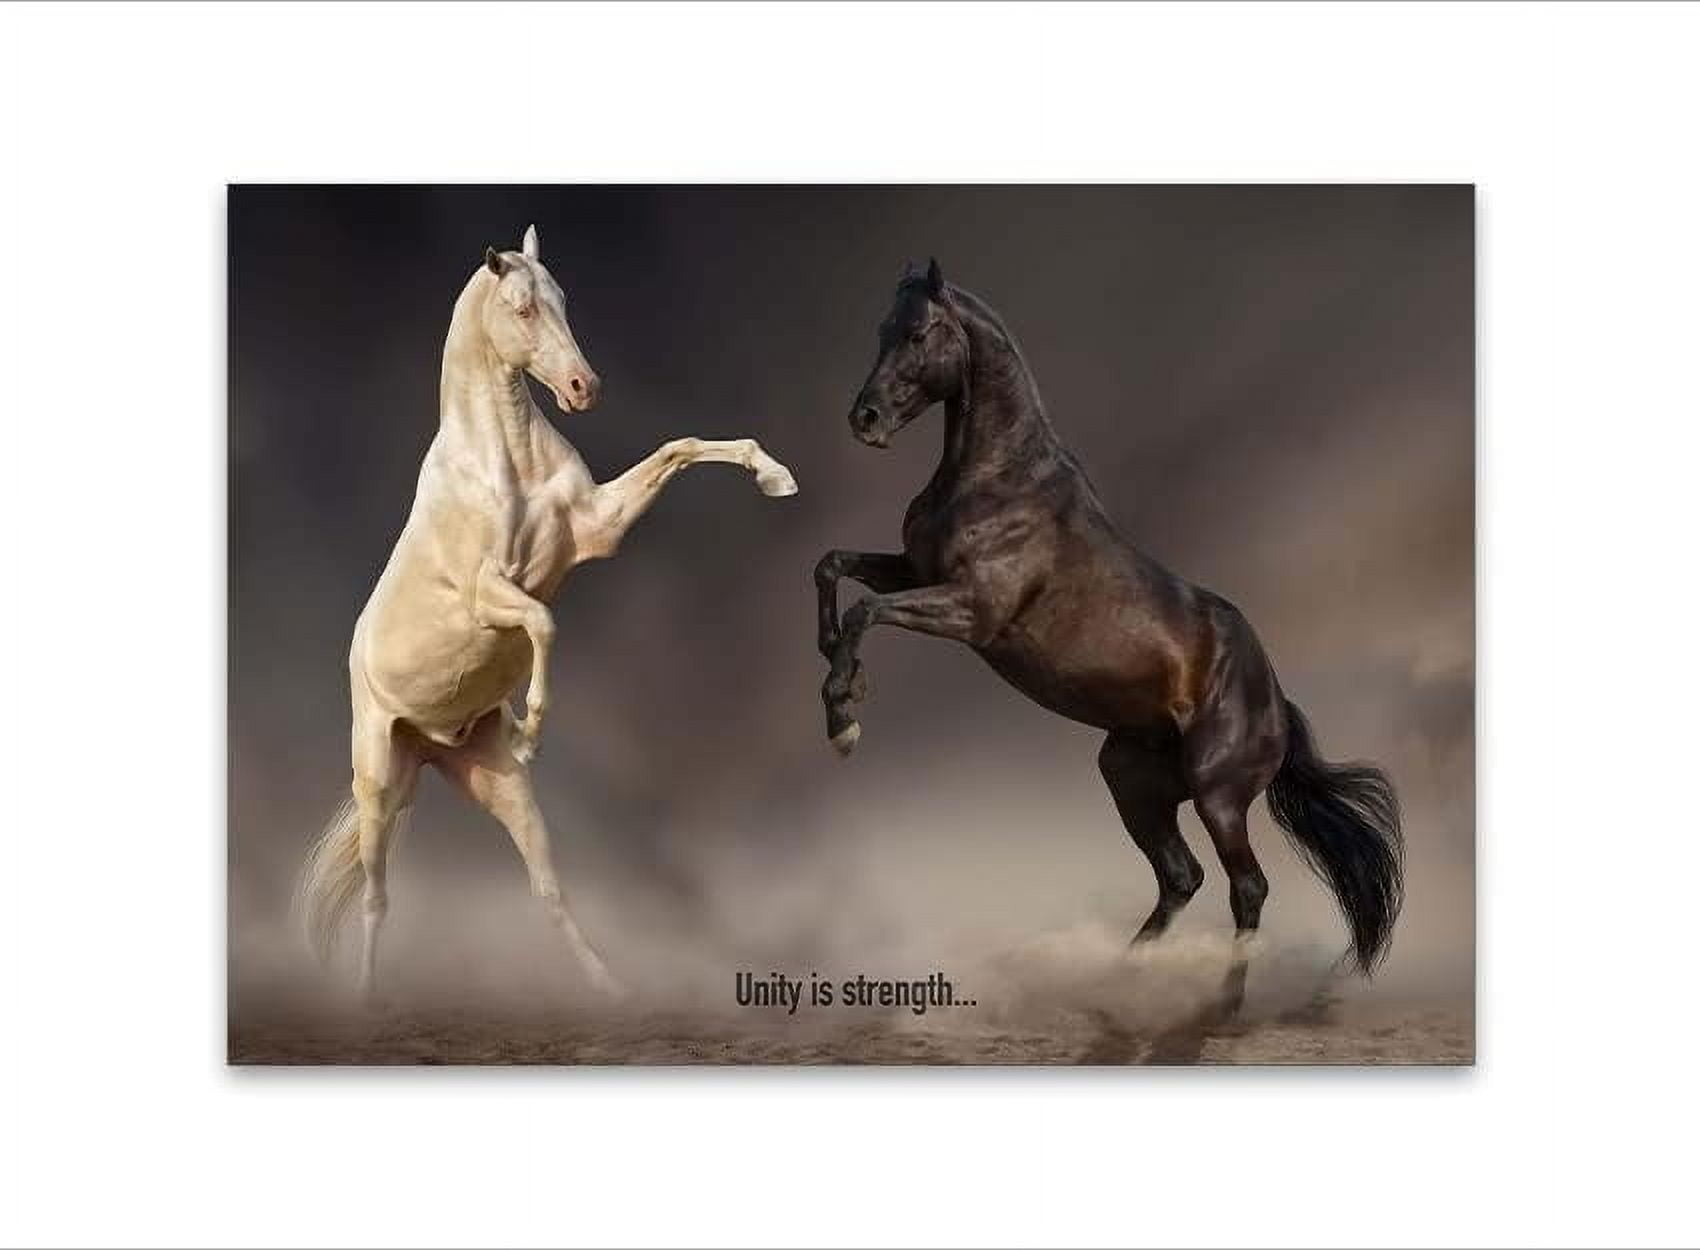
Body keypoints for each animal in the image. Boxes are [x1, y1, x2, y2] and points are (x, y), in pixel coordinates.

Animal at [298, 225, 799, 1003]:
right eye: (523, 307)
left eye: (564, 299)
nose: (583, 388)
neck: (505, 467)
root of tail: (432, 745)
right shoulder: (488, 595)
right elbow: (542, 622)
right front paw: (532, 727)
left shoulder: (598, 529)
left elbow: (681, 448)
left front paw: (774, 475)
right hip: (379, 787)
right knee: (378, 899)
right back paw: (366, 1001)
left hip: (506, 795)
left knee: (547, 893)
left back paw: (613, 991)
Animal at [814, 260, 1402, 978]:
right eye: (882, 330)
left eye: (920, 332)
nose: (864, 418)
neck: (997, 478)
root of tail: (1275, 701)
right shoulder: (913, 569)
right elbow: (833, 568)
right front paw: (842, 679)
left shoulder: (972, 610)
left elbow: (867, 608)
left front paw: (844, 718)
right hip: (1132, 780)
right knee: (1181, 877)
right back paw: (1122, 976)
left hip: (1218, 796)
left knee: (1246, 887)